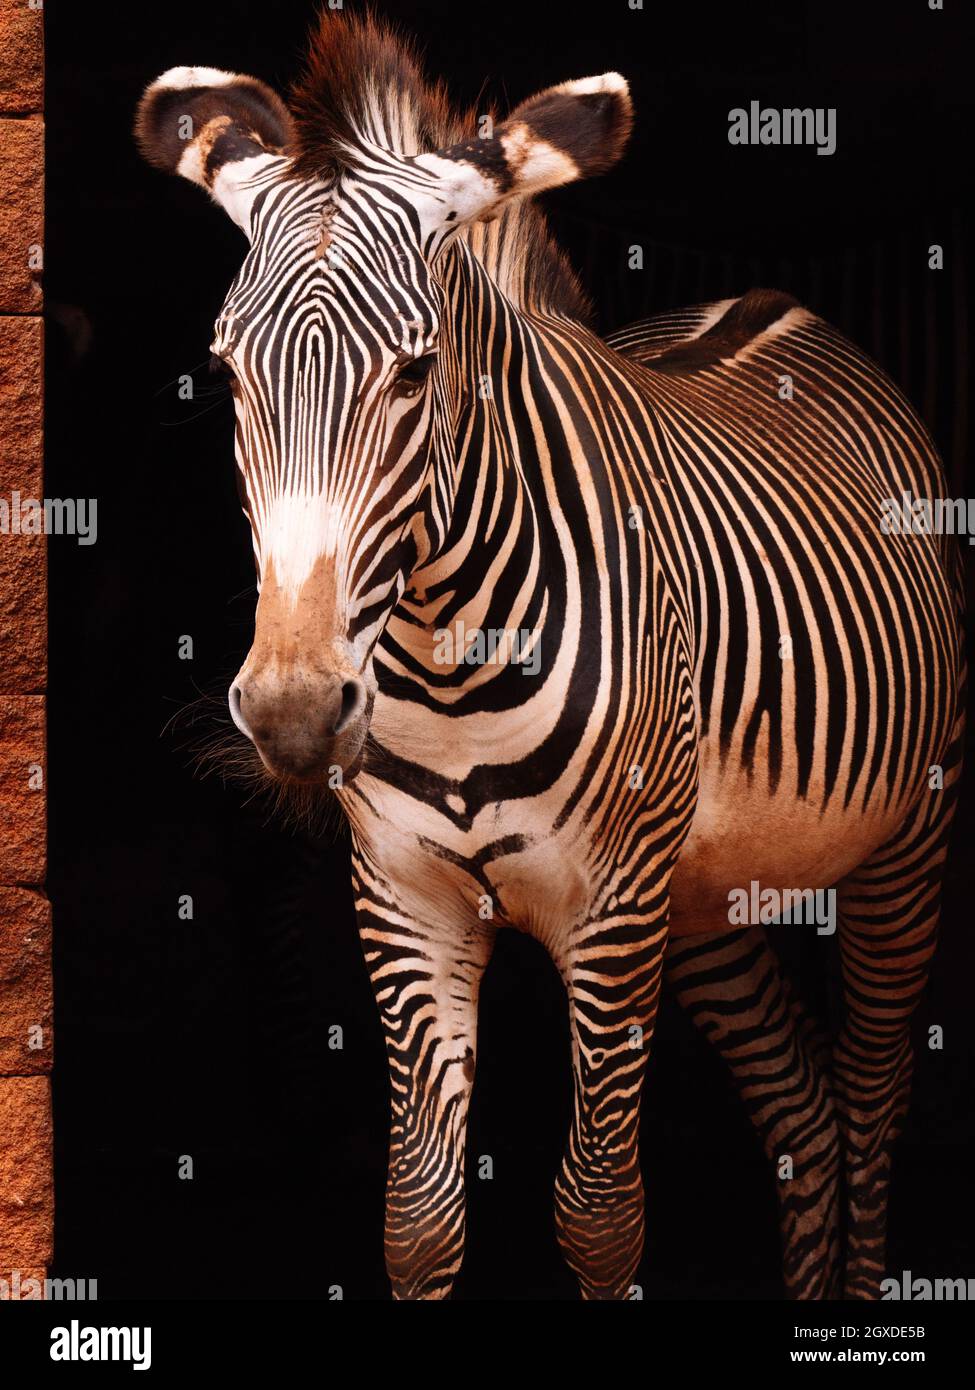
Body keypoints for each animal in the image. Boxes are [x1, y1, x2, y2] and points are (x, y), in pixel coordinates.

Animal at [136, 11, 965, 1300]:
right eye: (225, 372)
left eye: (416, 371)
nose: (292, 715)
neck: (445, 660)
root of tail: (766, 298)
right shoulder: (406, 893)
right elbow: (419, 1218)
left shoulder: (611, 904)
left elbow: (600, 1212)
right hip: (709, 897)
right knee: (803, 1107)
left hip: (900, 845)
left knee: (872, 1109)